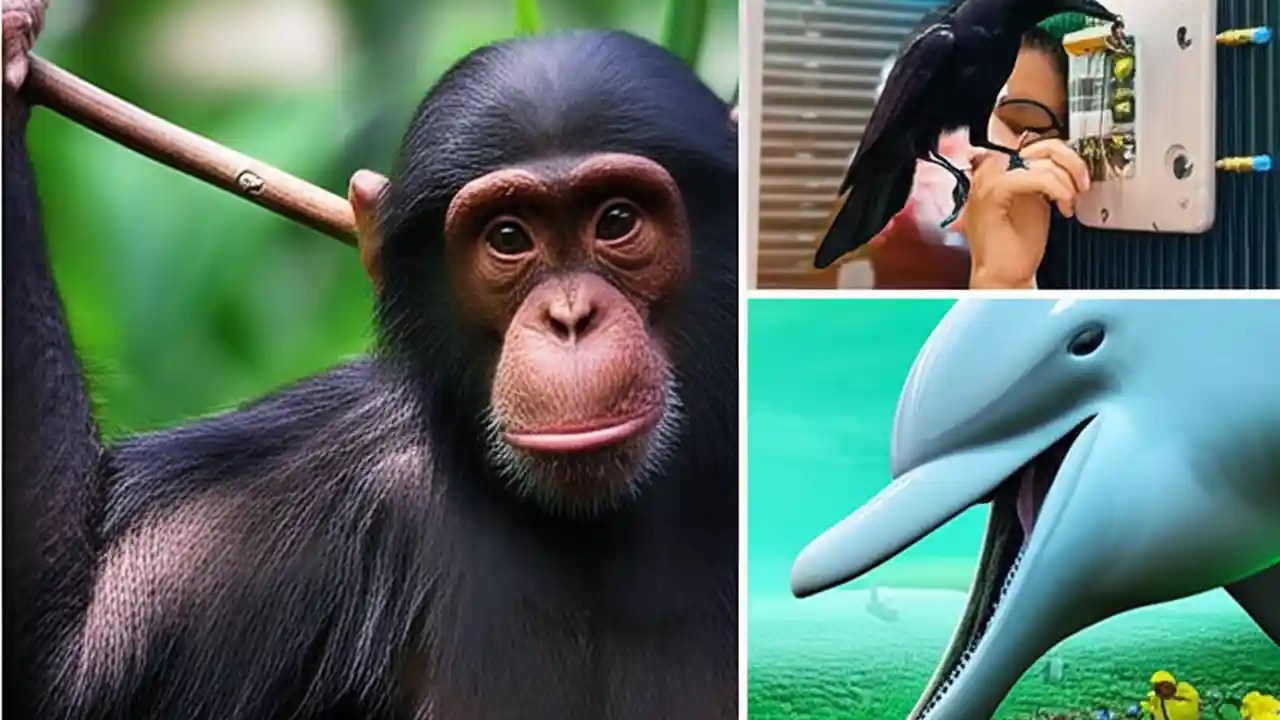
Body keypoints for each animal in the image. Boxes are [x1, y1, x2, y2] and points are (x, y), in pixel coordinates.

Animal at [2, 10, 739, 719]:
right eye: (508, 237)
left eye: (616, 221)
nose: (569, 318)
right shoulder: (299, 479)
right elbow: (73, 655)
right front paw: (10, 53)